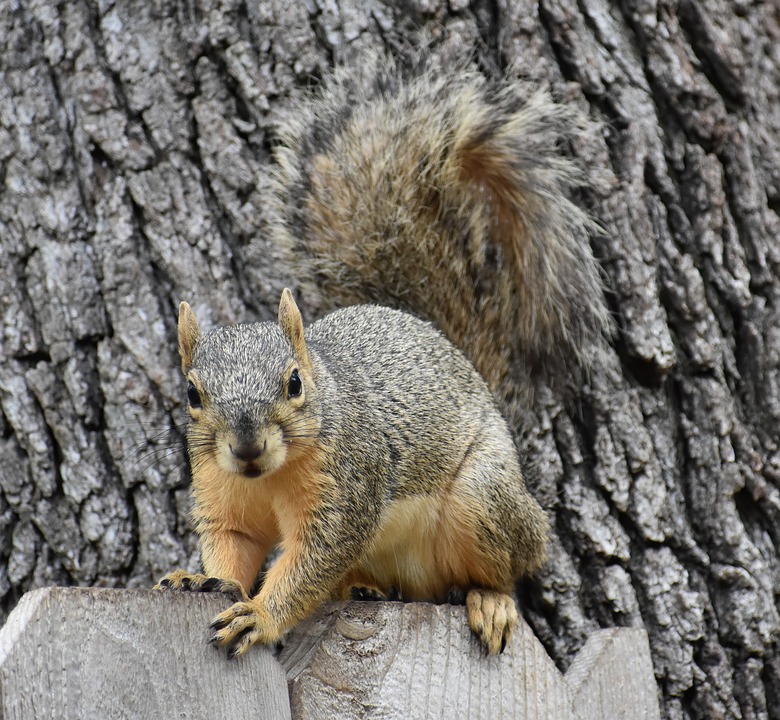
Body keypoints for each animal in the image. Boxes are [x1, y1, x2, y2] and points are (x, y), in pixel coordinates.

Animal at [155, 48, 610, 658]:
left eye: (294, 382)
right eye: (191, 393)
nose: (247, 447)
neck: (266, 478)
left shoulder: (350, 488)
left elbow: (314, 562)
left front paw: (262, 615)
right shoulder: (221, 492)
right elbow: (234, 546)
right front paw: (201, 578)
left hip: (484, 498)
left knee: (505, 568)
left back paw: (490, 601)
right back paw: (365, 589)